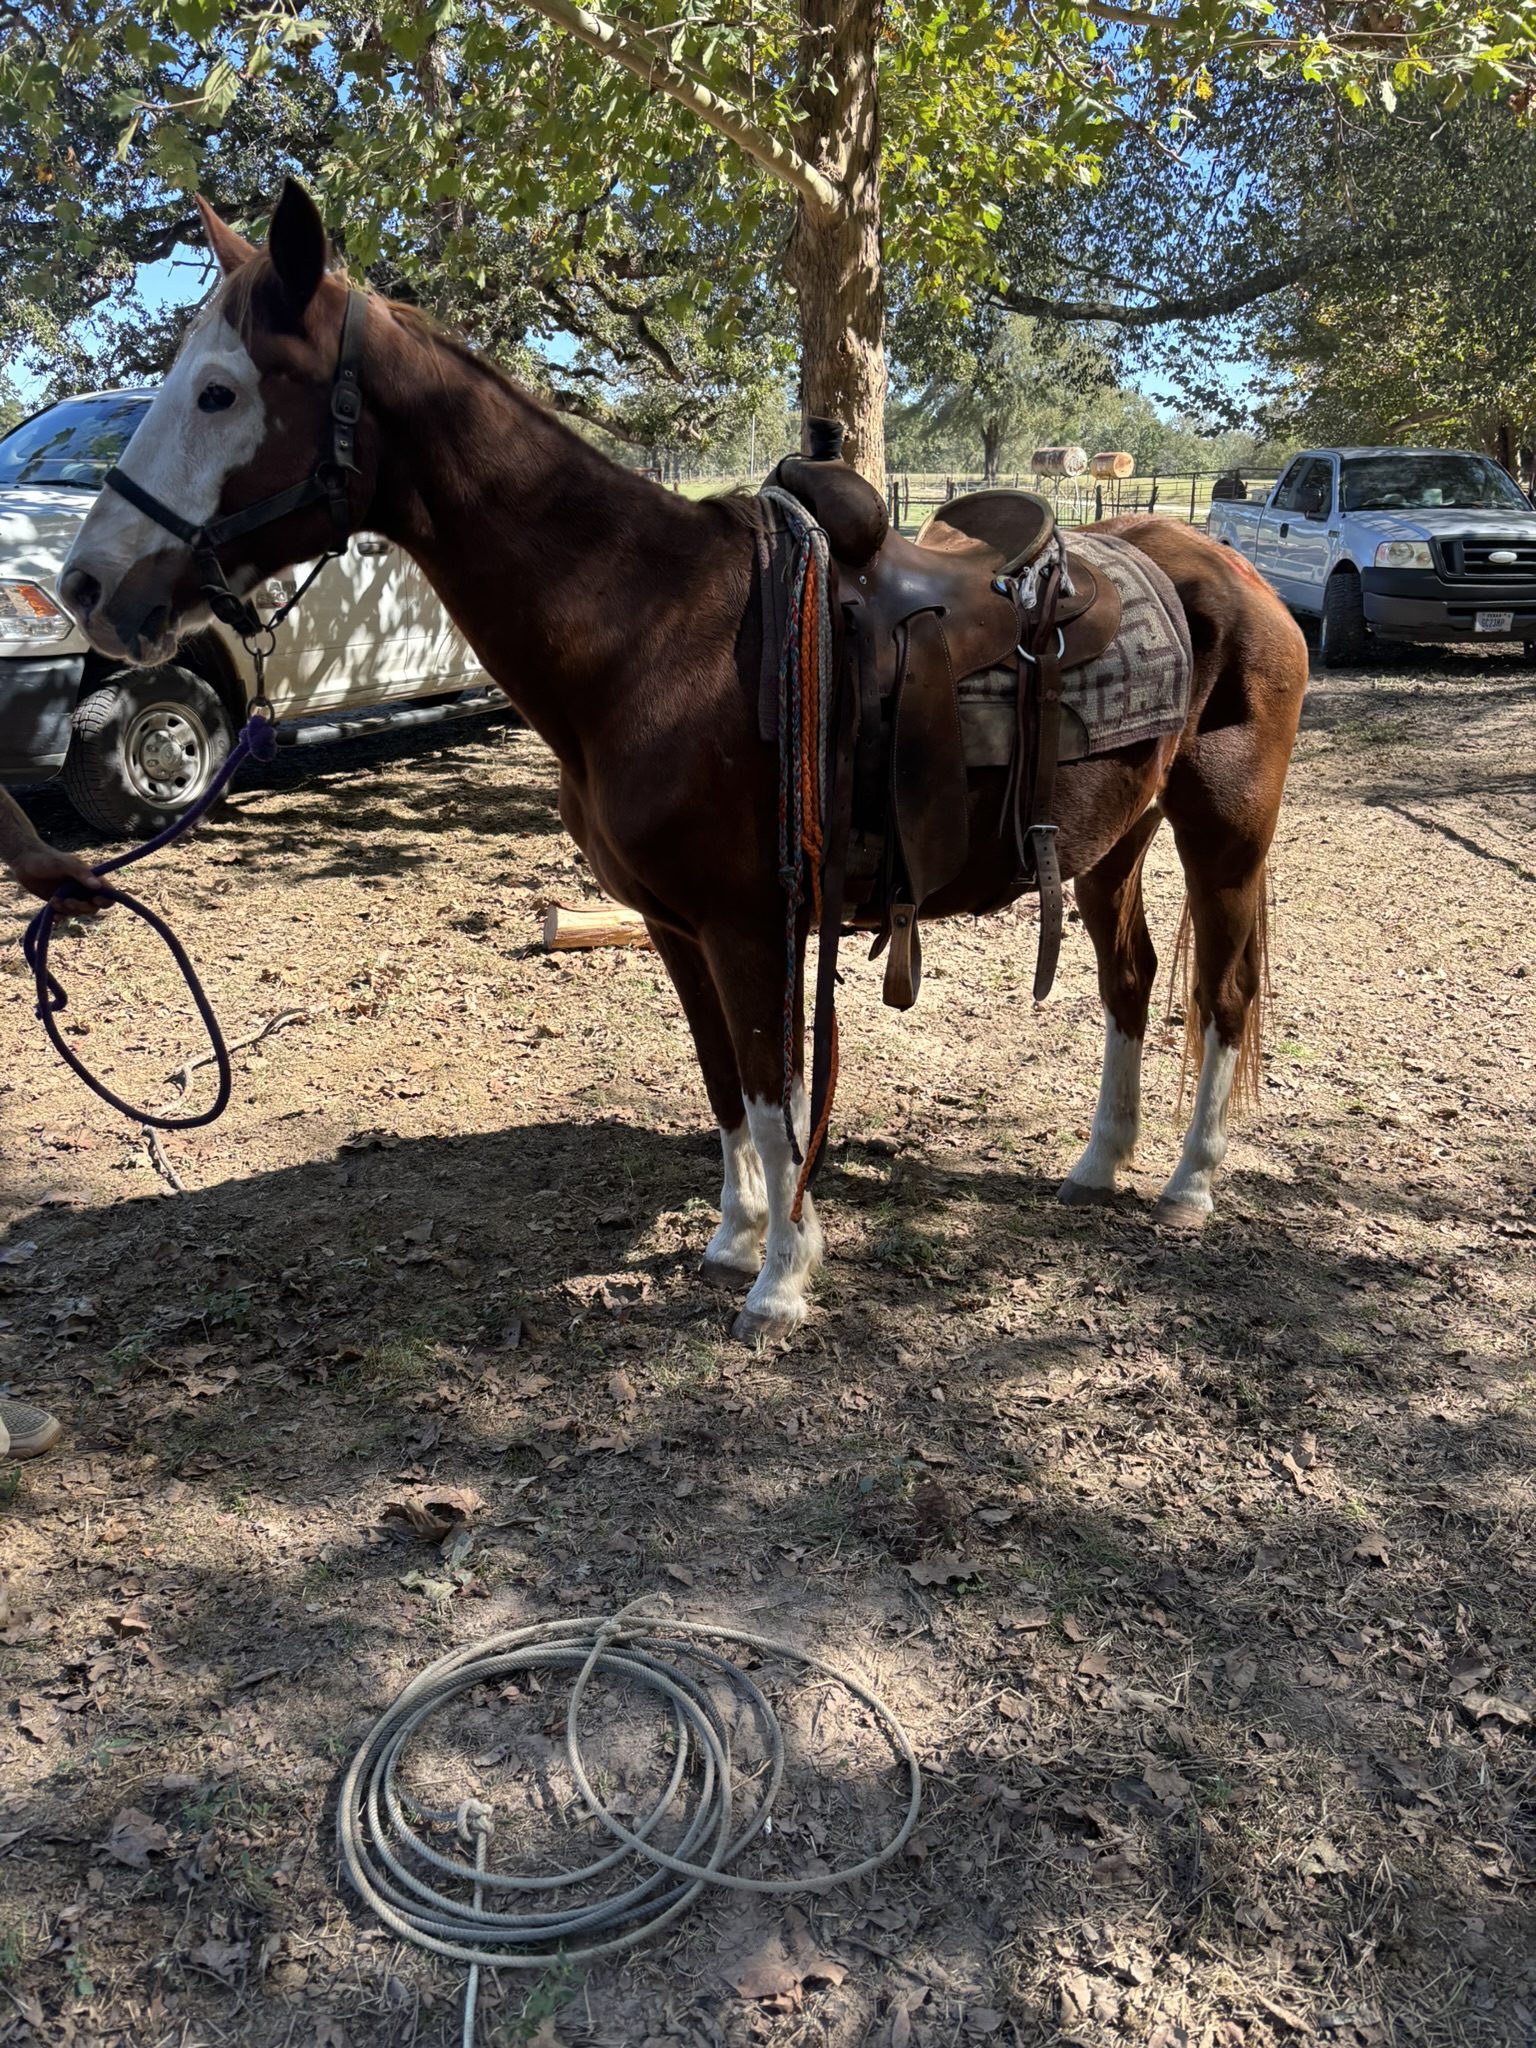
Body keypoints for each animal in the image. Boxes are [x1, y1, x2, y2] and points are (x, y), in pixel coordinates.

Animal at [59, 179, 1310, 1346]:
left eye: (220, 392)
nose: (86, 585)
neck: (652, 630)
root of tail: (1228, 574)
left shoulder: (750, 924)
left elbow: (769, 1082)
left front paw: (783, 1280)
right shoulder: (673, 926)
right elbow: (722, 1083)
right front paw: (734, 1235)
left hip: (1224, 832)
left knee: (1225, 992)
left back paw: (1189, 1182)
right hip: (1111, 841)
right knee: (1132, 980)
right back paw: (1100, 1163)